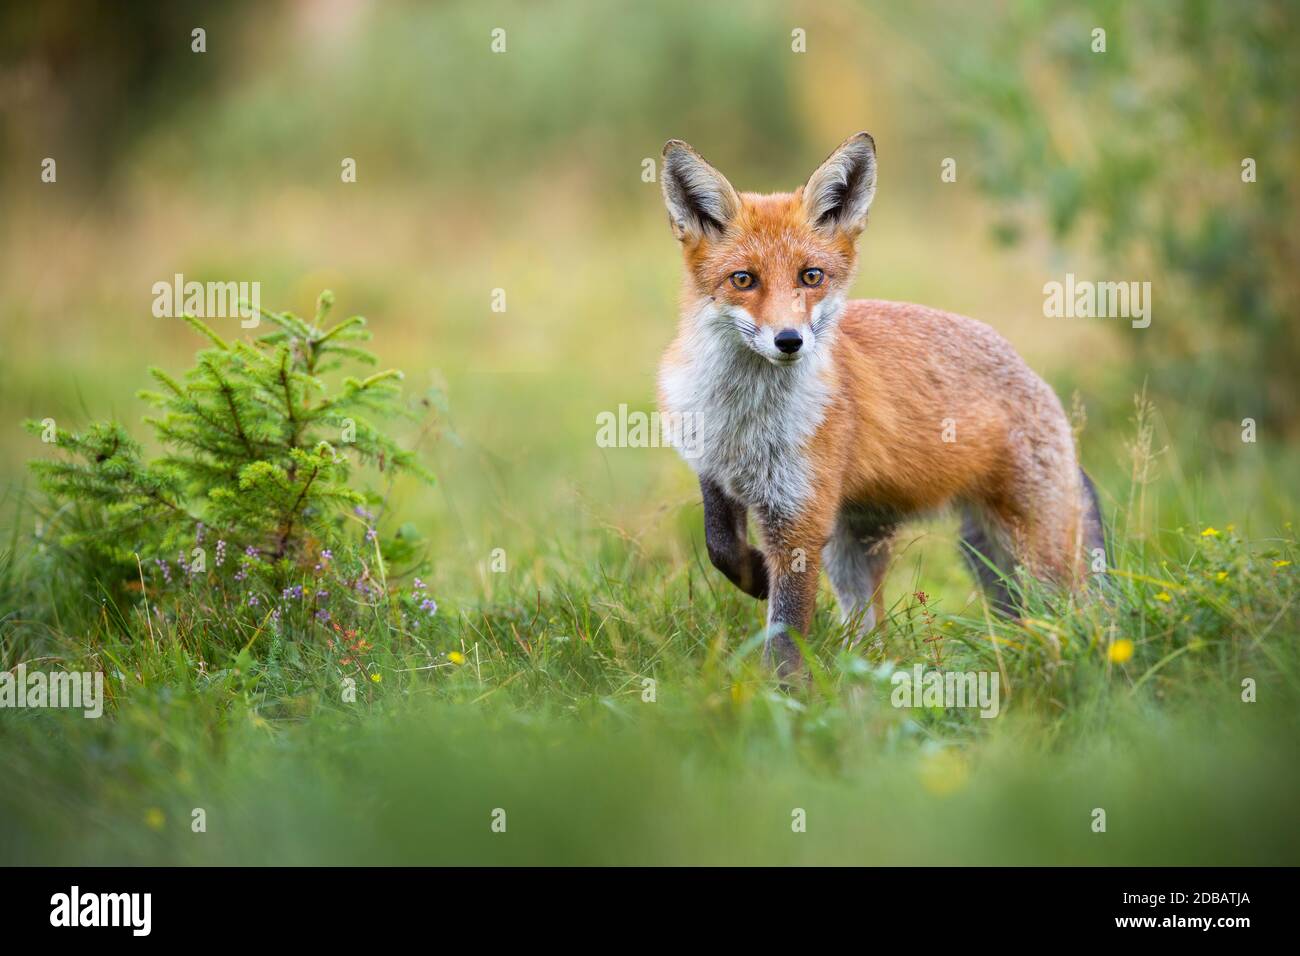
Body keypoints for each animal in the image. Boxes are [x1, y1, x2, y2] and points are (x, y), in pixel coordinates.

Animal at [656, 131, 1106, 678]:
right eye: (743, 280)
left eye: (811, 276)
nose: (789, 340)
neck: (745, 417)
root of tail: (1033, 375)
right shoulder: (717, 473)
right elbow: (720, 547)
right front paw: (756, 578)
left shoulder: (799, 518)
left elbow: (785, 632)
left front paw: (781, 692)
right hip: (871, 549)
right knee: (873, 630)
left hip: (1033, 554)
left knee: (1072, 612)